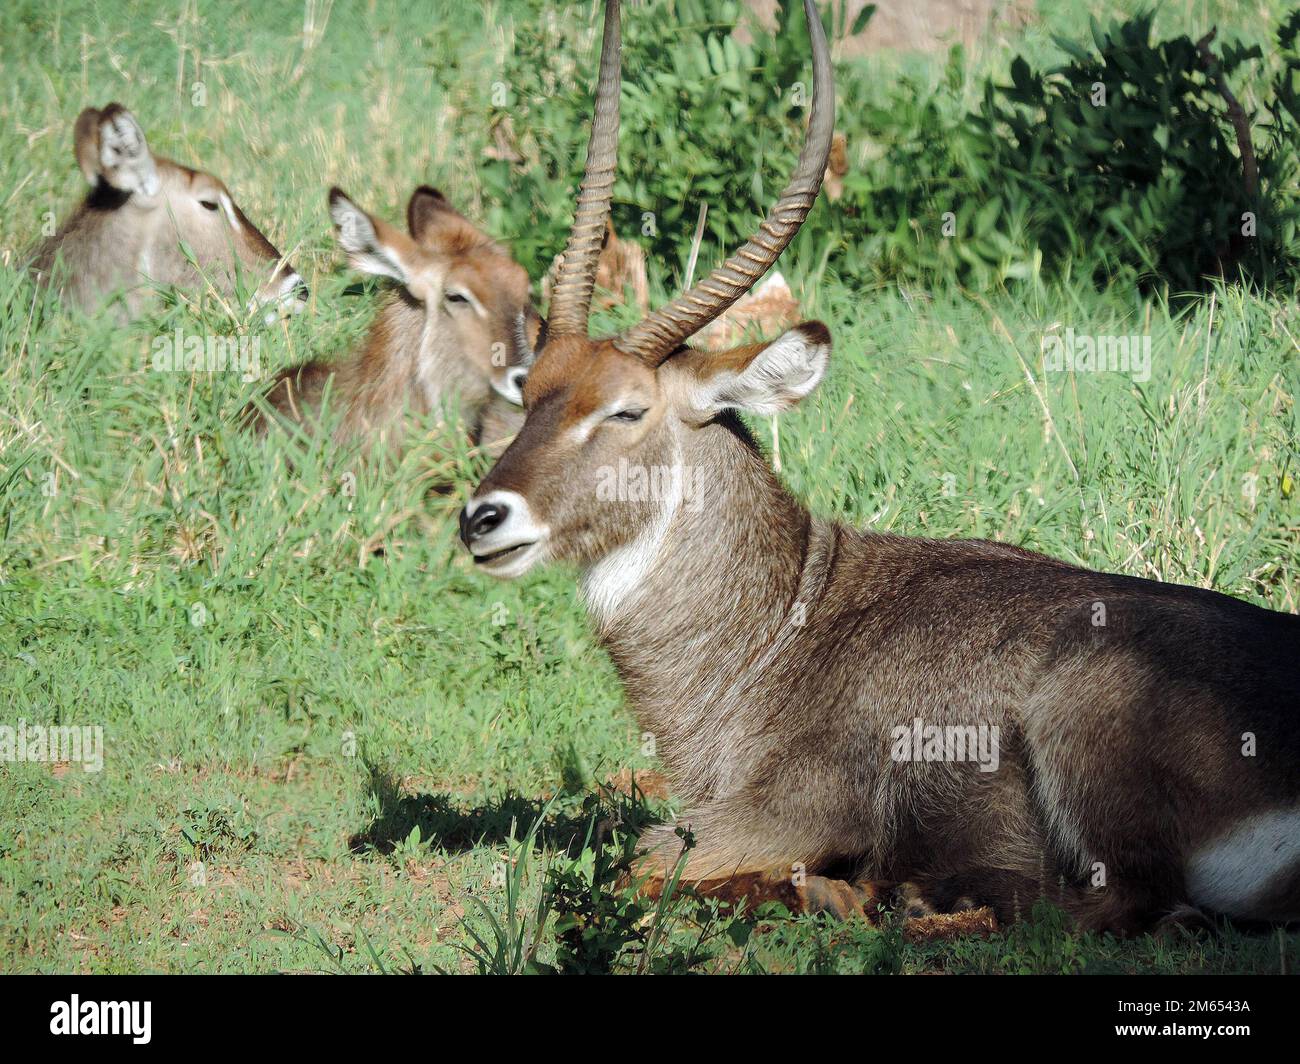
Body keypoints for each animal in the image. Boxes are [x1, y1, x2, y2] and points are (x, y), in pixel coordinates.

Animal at [459, 0, 1300, 934]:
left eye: (627, 409)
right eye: (531, 386)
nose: (483, 518)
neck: (784, 623)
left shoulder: (791, 808)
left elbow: (638, 861)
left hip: (1083, 710)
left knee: (1109, 908)